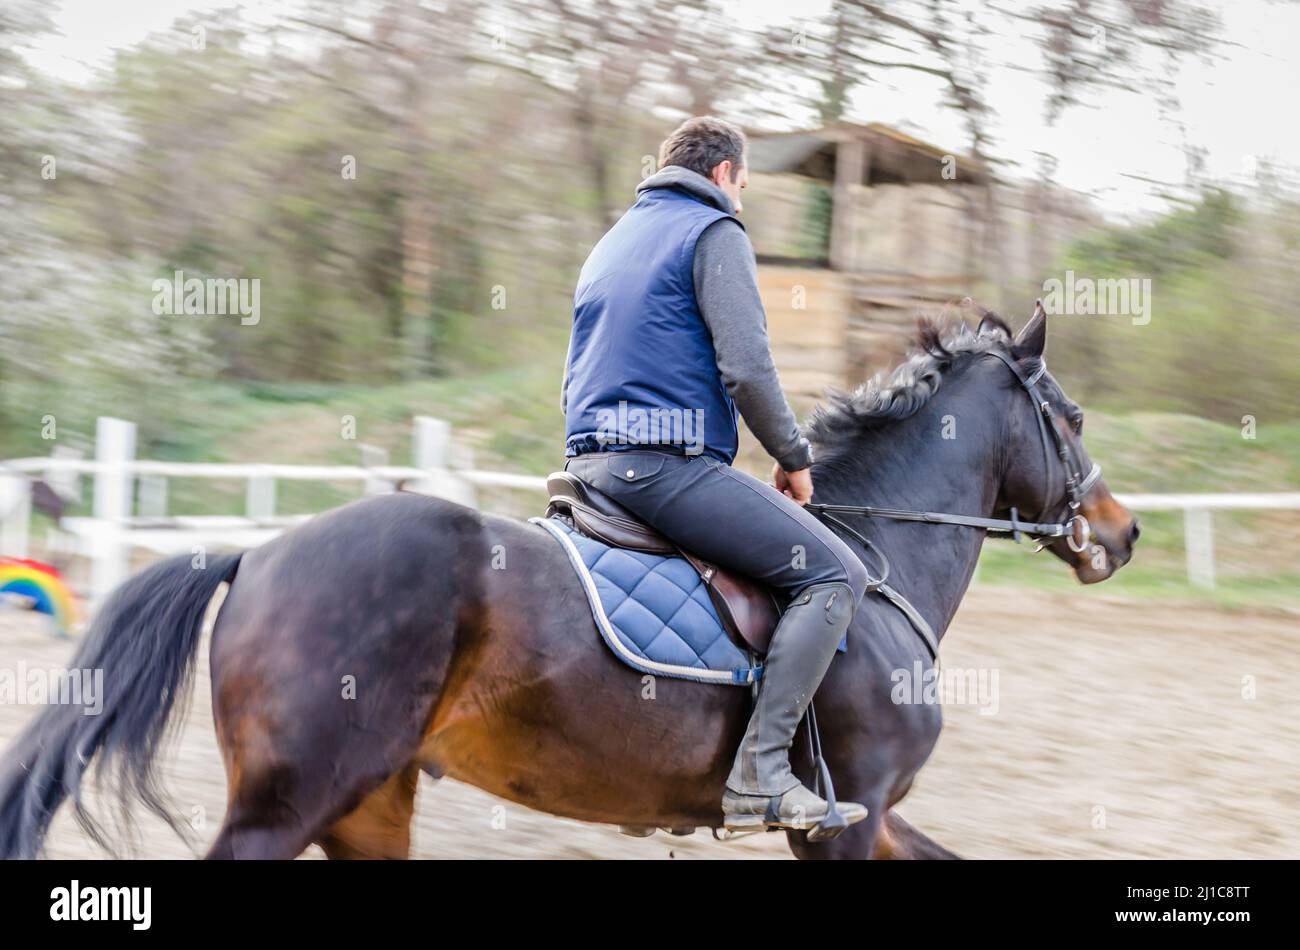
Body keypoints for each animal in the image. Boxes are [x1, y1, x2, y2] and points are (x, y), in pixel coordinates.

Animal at [0, 306, 1139, 859]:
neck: (882, 552)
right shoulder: (844, 817)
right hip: (292, 799)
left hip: (367, 803)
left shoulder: (876, 816)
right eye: (1074, 417)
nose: (1120, 534)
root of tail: (259, 550)